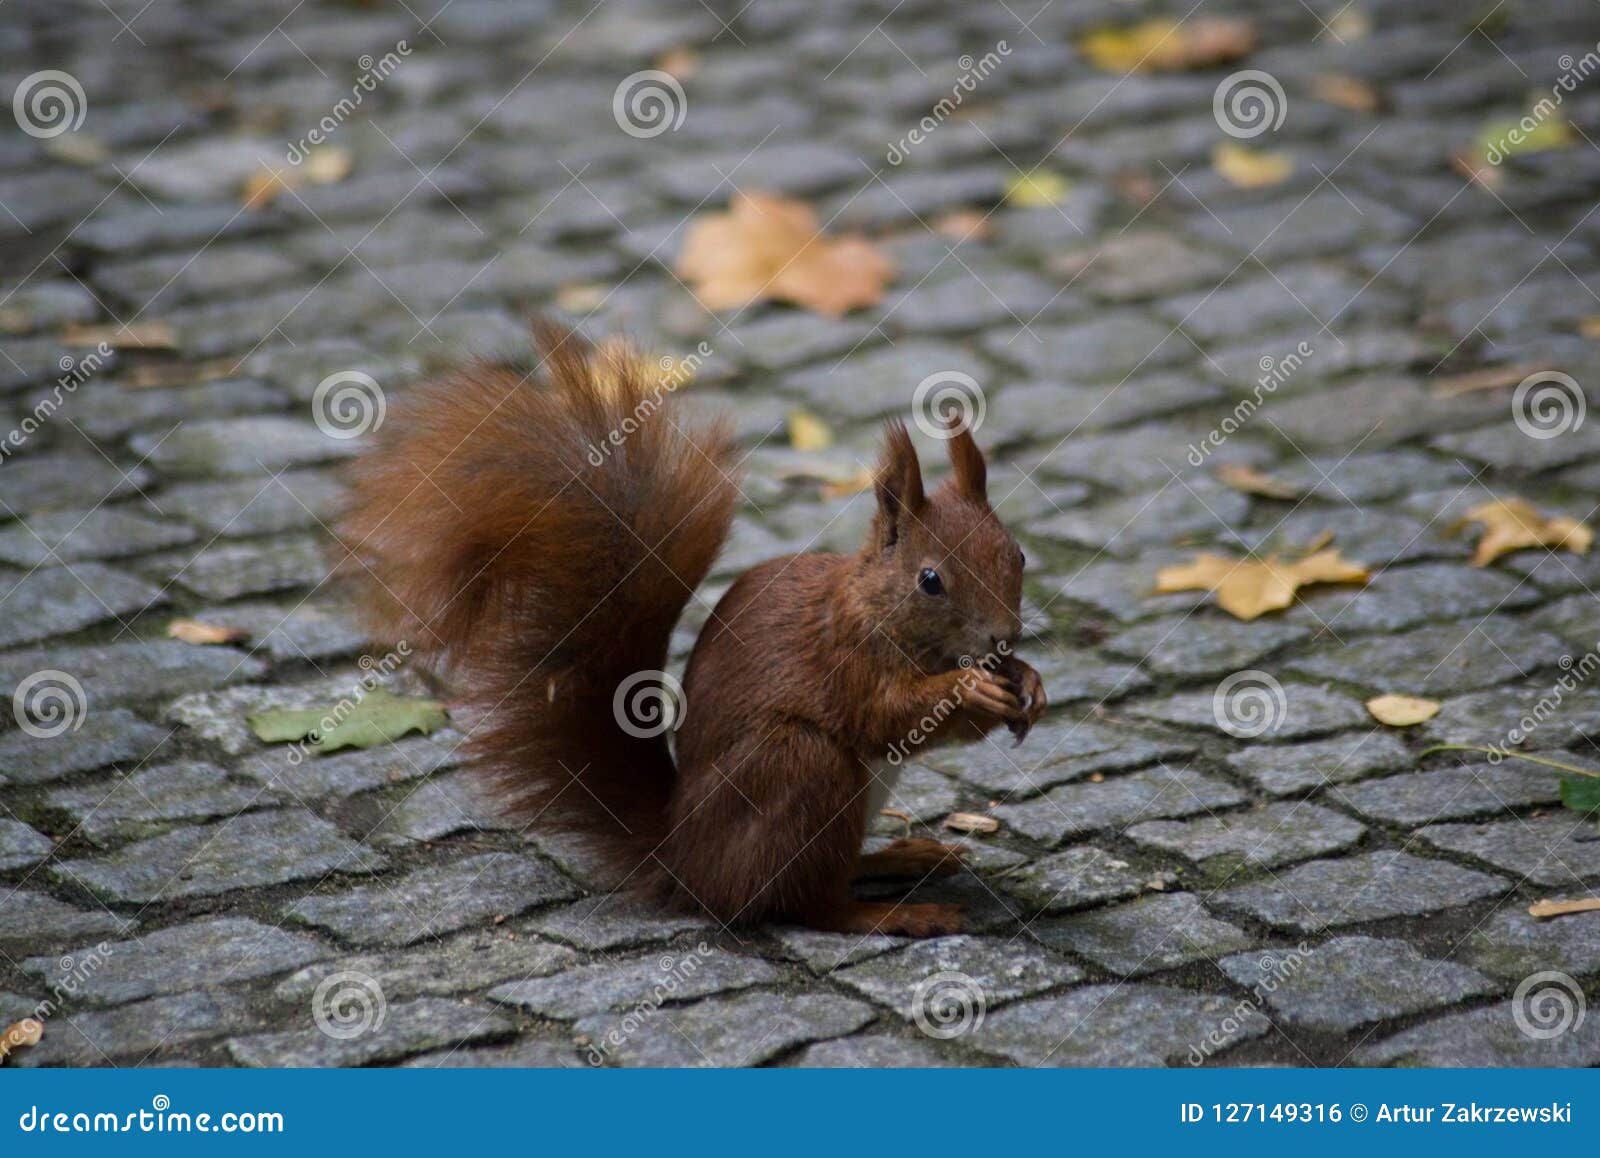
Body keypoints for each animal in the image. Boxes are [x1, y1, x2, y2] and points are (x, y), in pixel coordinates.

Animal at [338, 322, 1047, 937]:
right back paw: (895, 911)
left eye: (1017, 555)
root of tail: (683, 862)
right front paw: (971, 689)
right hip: (798, 767)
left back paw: (902, 858)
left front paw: (1029, 685)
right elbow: (884, 716)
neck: (879, 609)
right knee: (807, 903)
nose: (1003, 638)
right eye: (930, 581)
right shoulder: (843, 656)